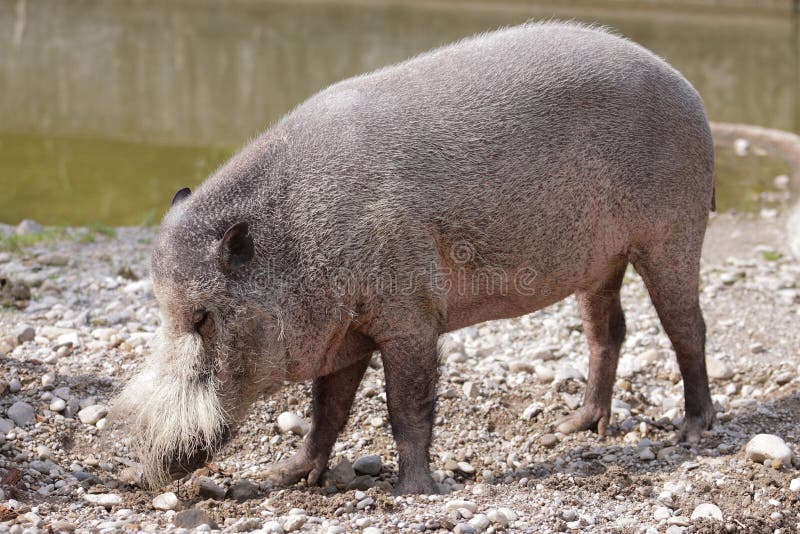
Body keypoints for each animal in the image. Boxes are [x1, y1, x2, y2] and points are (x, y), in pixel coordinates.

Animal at [114, 21, 716, 495]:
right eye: (162, 313)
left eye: (201, 318)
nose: (142, 475)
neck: (302, 244)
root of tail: (691, 91)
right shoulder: (345, 333)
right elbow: (326, 410)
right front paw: (285, 476)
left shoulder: (409, 313)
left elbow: (405, 406)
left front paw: (413, 492)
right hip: (600, 262)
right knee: (607, 330)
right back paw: (572, 430)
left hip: (673, 231)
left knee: (686, 326)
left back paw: (691, 433)